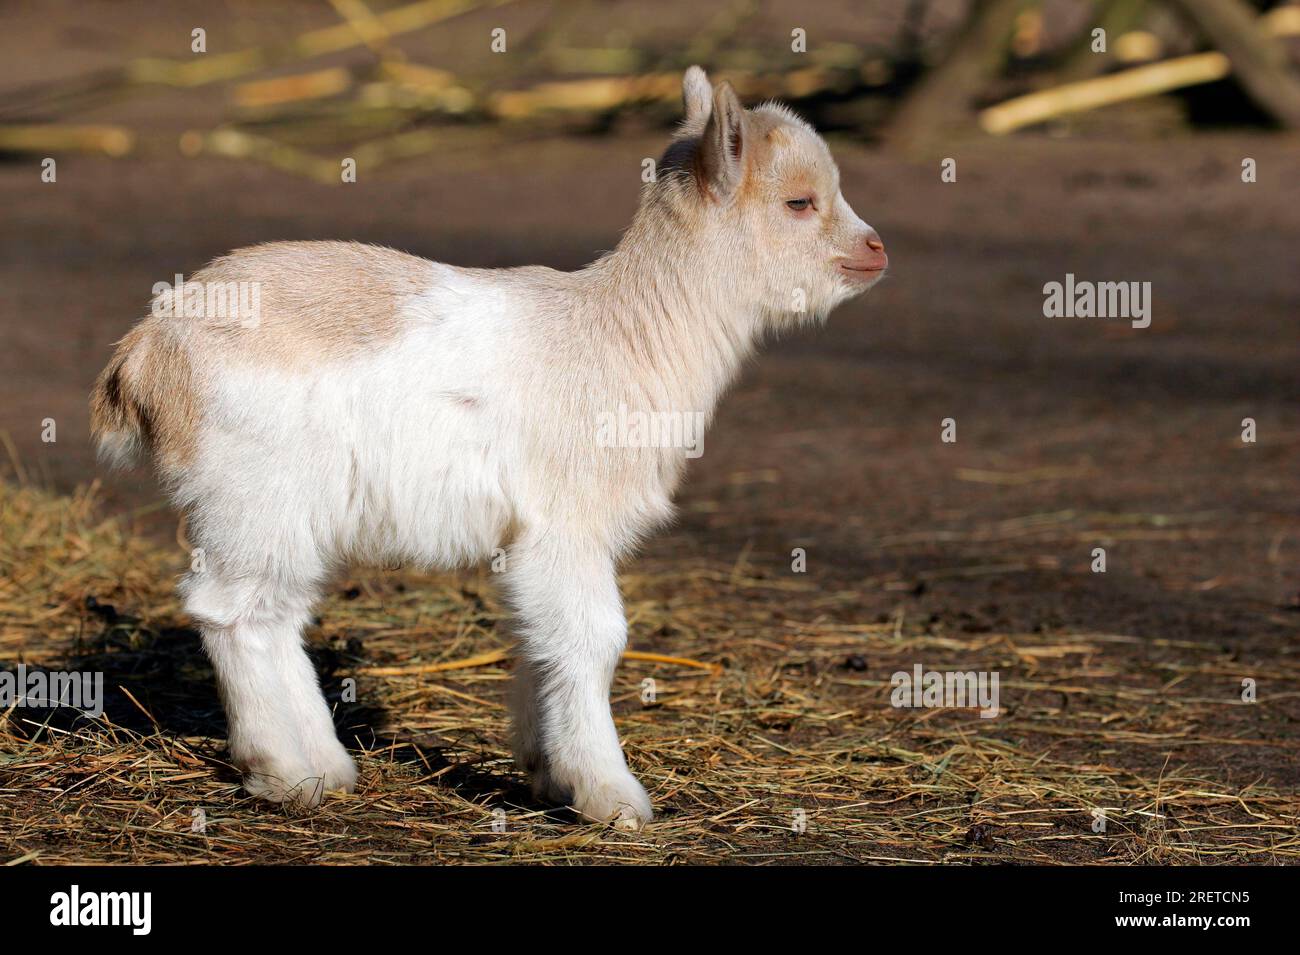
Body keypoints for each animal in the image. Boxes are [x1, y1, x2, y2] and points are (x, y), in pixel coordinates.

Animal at [90, 66, 888, 829]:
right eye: (799, 202)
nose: (876, 249)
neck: (620, 333)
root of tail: (145, 350)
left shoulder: (530, 533)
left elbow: (539, 634)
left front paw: (547, 772)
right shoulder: (567, 519)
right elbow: (594, 637)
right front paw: (611, 795)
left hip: (280, 503)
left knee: (276, 608)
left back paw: (324, 764)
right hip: (253, 485)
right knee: (231, 609)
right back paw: (283, 773)